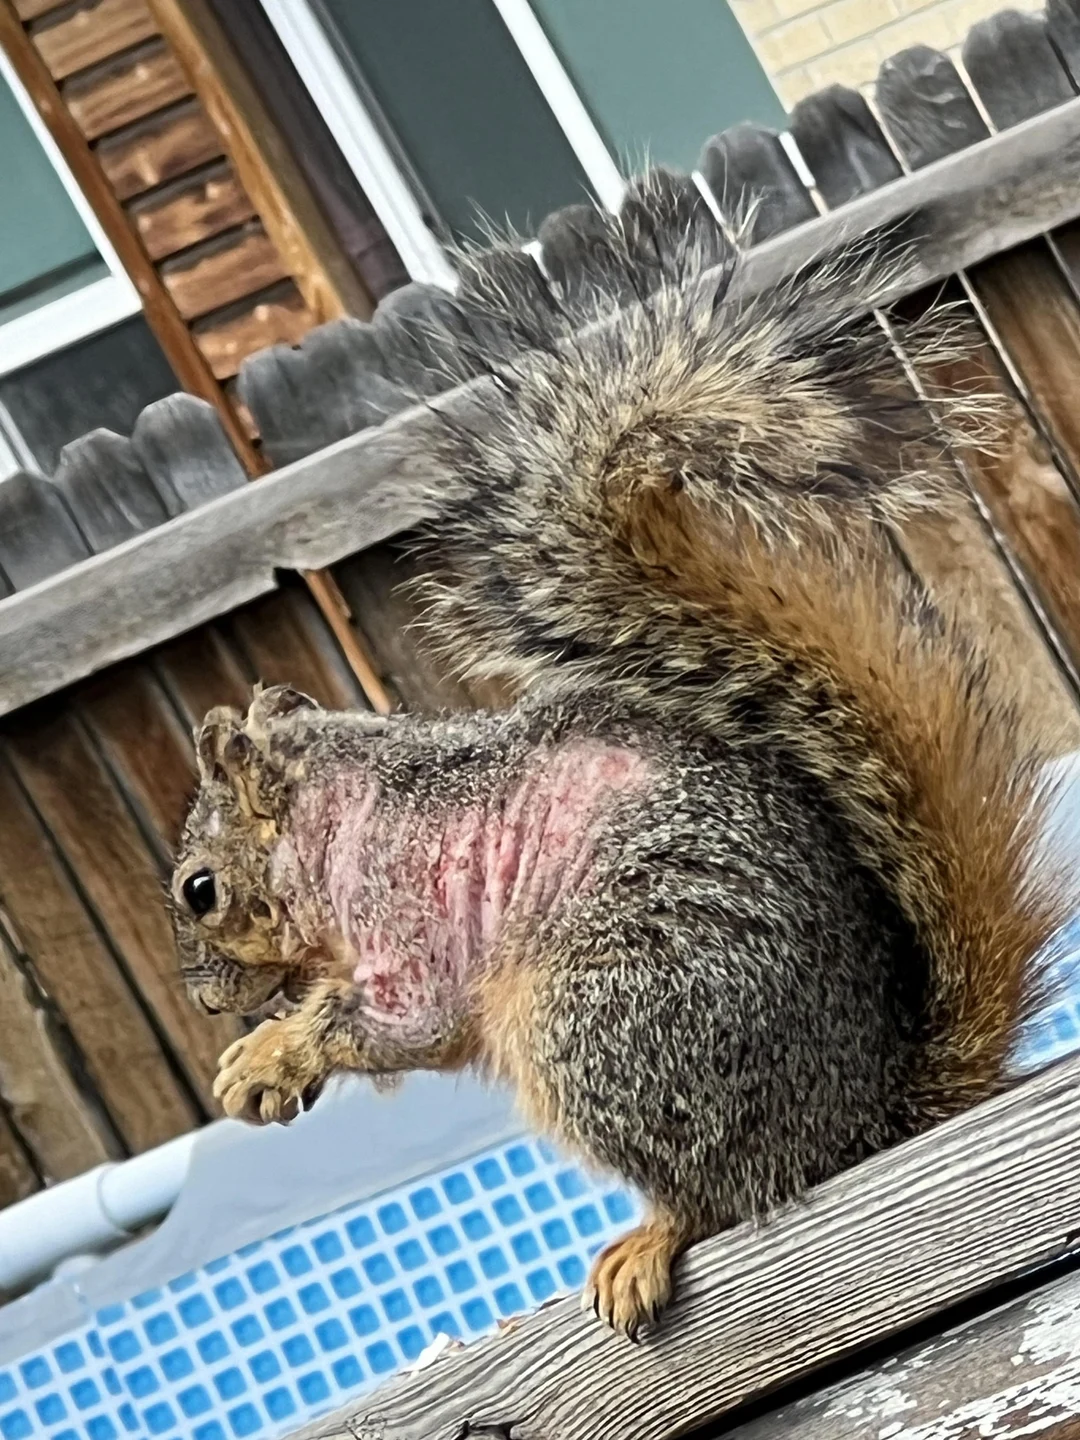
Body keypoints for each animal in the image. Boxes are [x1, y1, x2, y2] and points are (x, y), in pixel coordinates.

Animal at [170, 174, 1071, 1340]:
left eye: (198, 890)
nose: (202, 1002)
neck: (333, 821)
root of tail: (861, 1118)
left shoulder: (406, 919)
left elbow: (397, 1019)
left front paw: (268, 1055)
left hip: (599, 1017)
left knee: (719, 1192)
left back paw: (649, 1241)